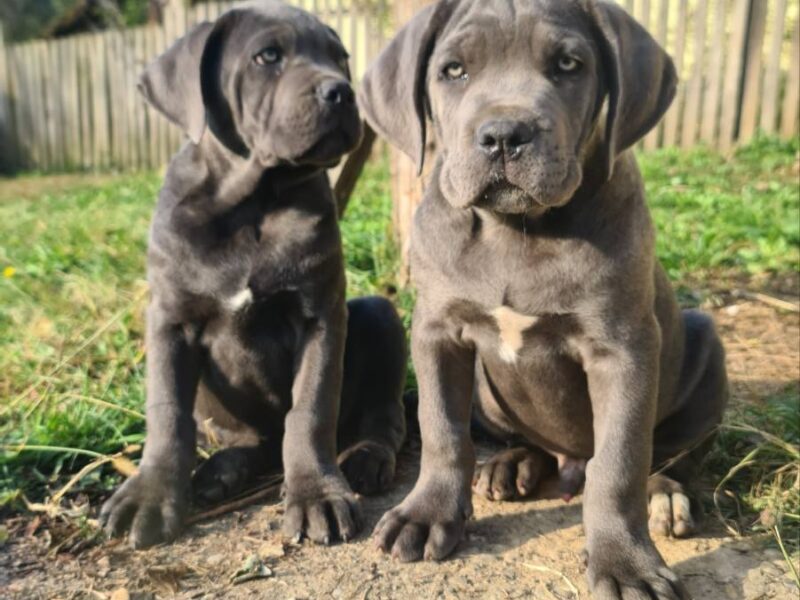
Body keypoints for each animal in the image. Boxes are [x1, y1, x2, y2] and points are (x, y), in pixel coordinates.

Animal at [100, 0, 406, 552]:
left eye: (340, 58)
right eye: (268, 56)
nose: (342, 91)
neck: (250, 201)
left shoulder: (319, 315)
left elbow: (310, 411)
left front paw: (316, 494)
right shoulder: (169, 322)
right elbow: (166, 414)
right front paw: (150, 496)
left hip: (378, 313)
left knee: (383, 413)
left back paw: (365, 457)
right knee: (254, 440)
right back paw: (225, 469)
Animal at [360, 1, 728, 600]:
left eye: (568, 64)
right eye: (454, 70)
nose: (504, 135)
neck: (515, 231)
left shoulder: (623, 349)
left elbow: (620, 461)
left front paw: (626, 562)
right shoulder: (437, 333)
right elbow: (441, 429)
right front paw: (426, 514)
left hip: (706, 346)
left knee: (667, 454)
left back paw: (665, 494)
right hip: (488, 391)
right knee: (517, 437)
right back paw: (510, 465)